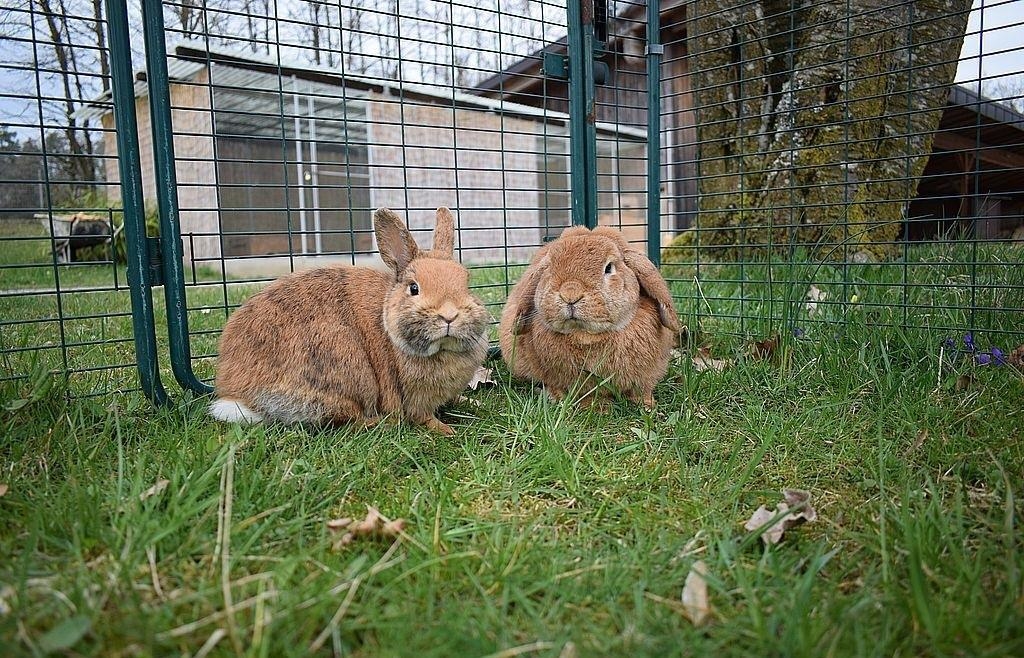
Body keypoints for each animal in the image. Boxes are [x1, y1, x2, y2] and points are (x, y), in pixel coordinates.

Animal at [209, 207, 490, 435]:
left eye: (466, 282)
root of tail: (239, 394)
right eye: (414, 288)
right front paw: (446, 430)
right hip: (349, 372)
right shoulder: (414, 398)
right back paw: (378, 423)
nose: (449, 315)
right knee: (347, 418)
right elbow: (423, 416)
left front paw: (472, 402)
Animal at [498, 225, 680, 409]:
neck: (586, 335)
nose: (570, 294)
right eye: (549, 268)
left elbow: (642, 388)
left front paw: (647, 404)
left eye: (609, 268)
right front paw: (597, 408)